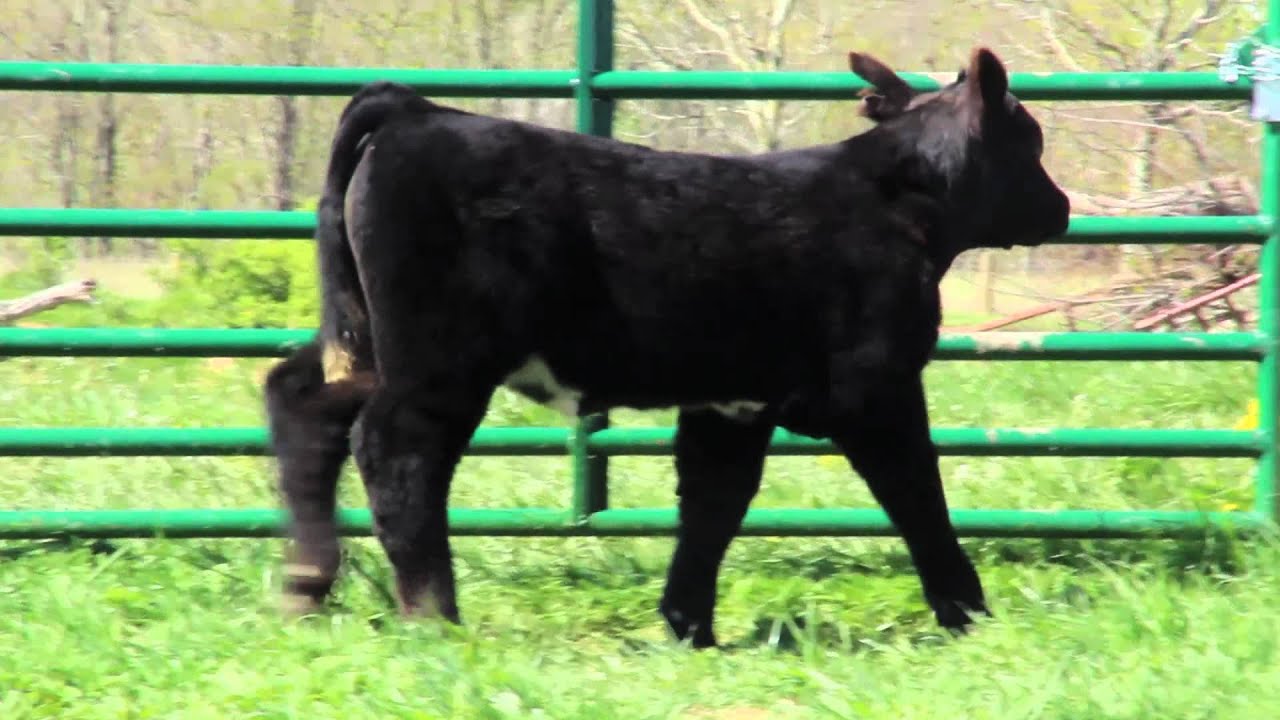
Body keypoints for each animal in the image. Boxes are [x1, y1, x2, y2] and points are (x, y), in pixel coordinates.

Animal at [263, 46, 1070, 649]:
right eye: (1030, 141)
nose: (1061, 207)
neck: (895, 202)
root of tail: (420, 113)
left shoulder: (733, 405)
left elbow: (714, 507)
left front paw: (692, 628)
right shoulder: (878, 390)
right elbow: (917, 497)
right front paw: (970, 613)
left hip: (364, 341)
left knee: (304, 401)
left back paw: (307, 585)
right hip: (440, 360)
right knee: (395, 449)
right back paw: (433, 615)